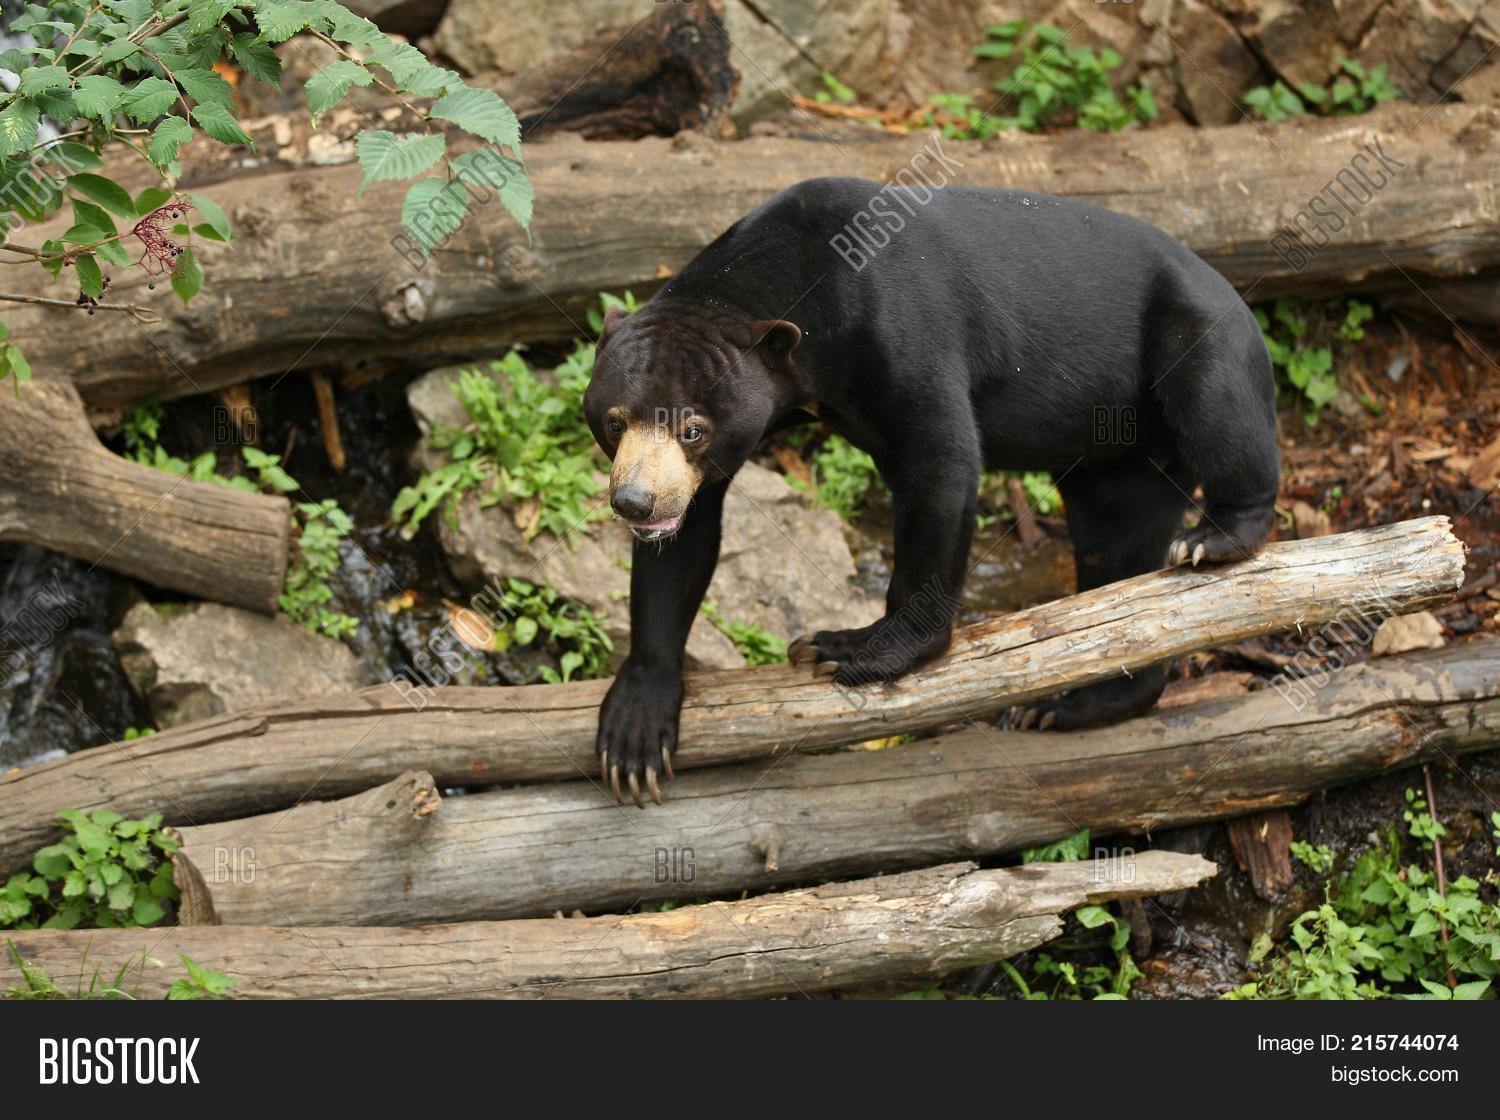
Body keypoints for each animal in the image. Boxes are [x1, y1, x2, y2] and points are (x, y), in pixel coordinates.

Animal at [583, 176, 1278, 807]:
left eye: (694, 429)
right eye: (614, 421)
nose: (636, 503)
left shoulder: (900, 325)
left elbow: (939, 463)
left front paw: (850, 649)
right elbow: (685, 544)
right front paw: (634, 739)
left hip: (1194, 333)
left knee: (1218, 411)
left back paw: (1214, 540)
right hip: (1115, 448)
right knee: (1118, 538)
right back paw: (1069, 705)